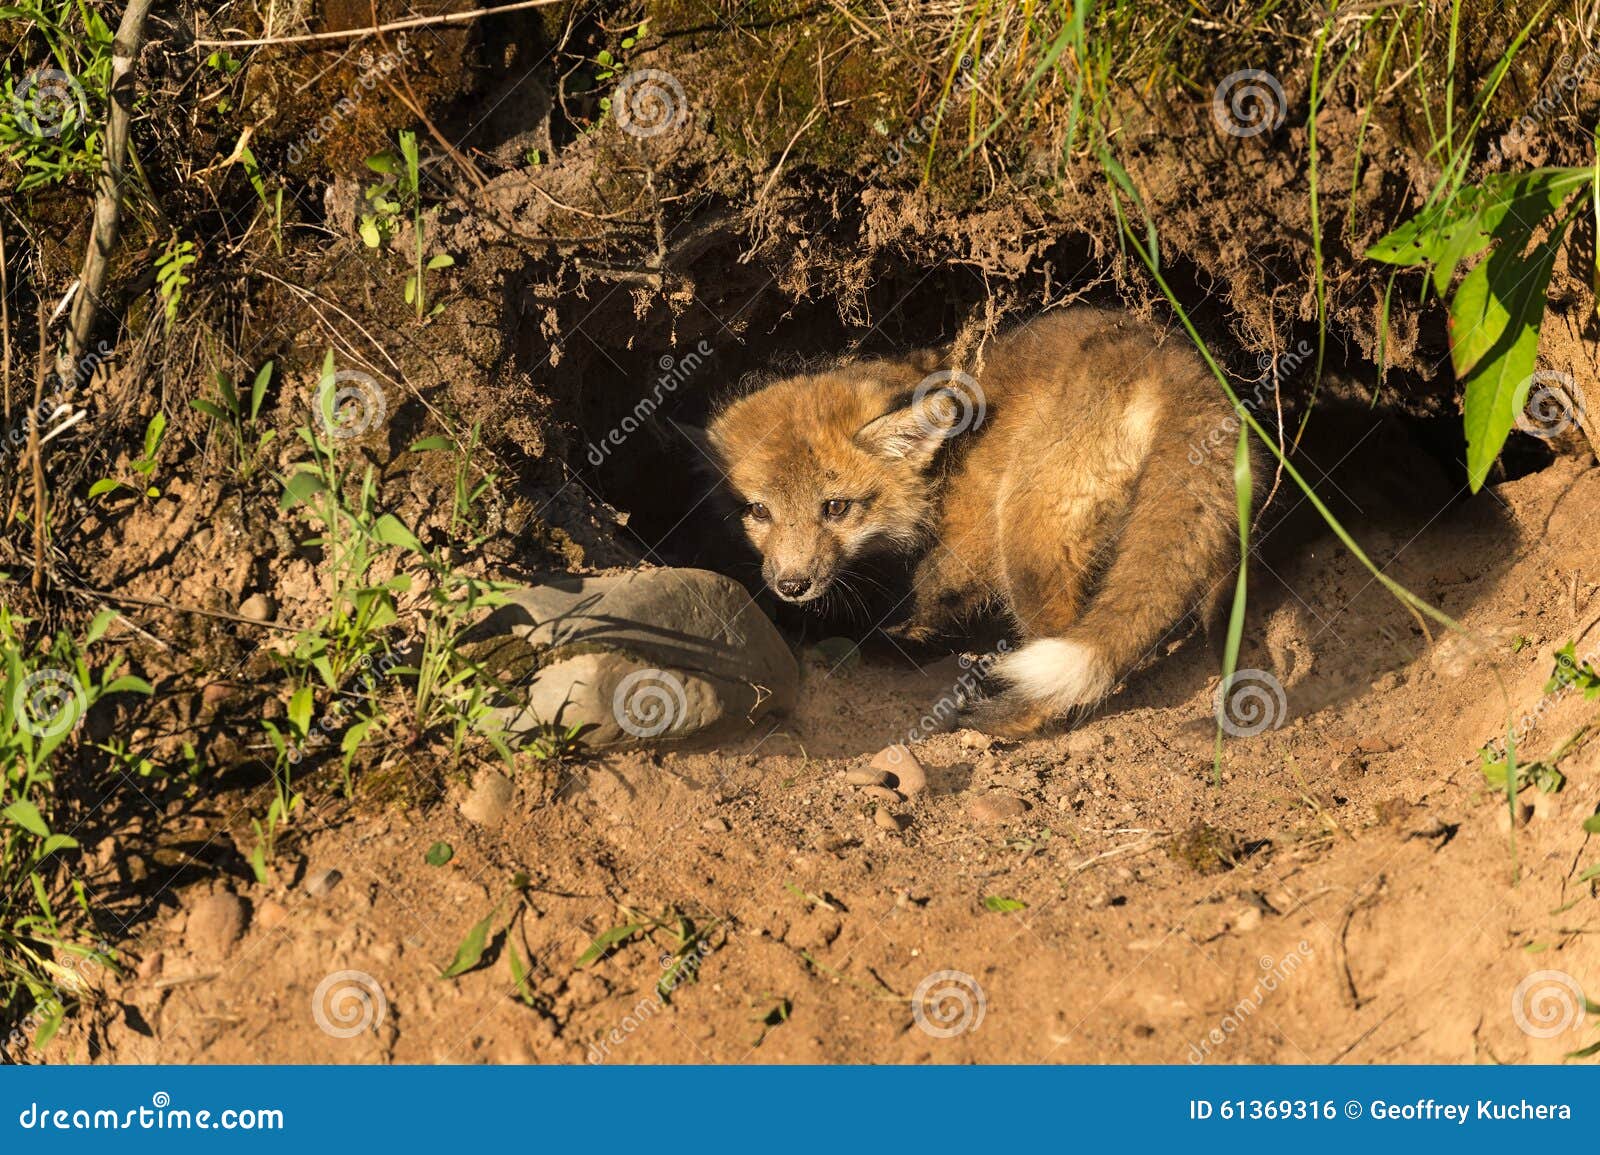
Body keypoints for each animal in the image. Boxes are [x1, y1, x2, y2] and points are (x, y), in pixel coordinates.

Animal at [700, 307, 1255, 737]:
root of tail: (1171, 355)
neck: (939, 471)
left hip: (1026, 538)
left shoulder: (965, 545)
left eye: (835, 507)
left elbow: (922, 609)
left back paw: (1001, 720)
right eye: (759, 510)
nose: (792, 586)